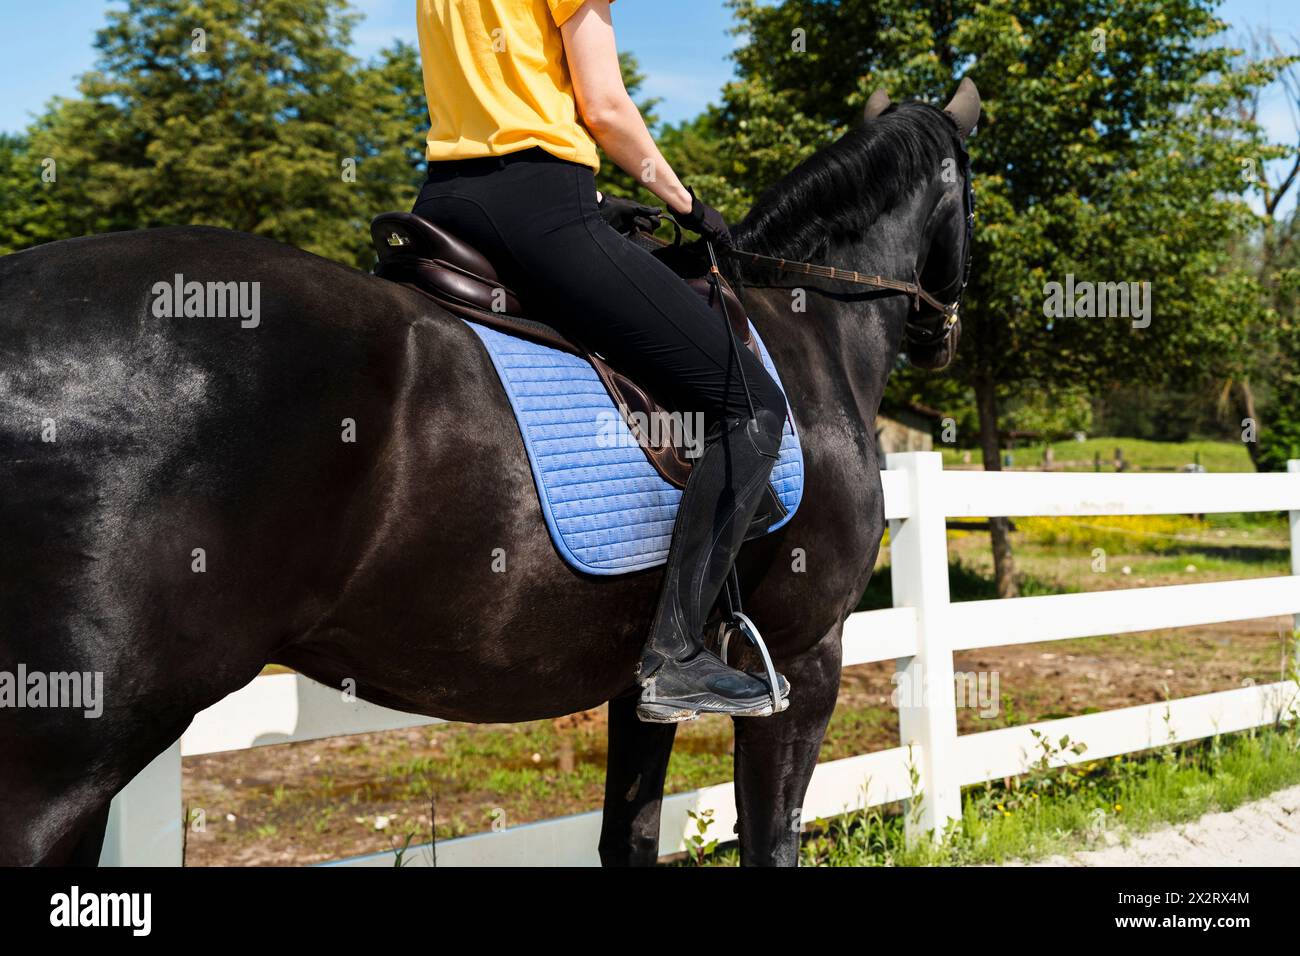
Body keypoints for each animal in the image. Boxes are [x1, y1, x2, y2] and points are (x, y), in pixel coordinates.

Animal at [0, 80, 978, 866]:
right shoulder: (804, 661)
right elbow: (771, 842)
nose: (943, 336)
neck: (806, 331)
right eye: (971, 190)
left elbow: (629, 837)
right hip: (66, 752)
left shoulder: (641, 694)